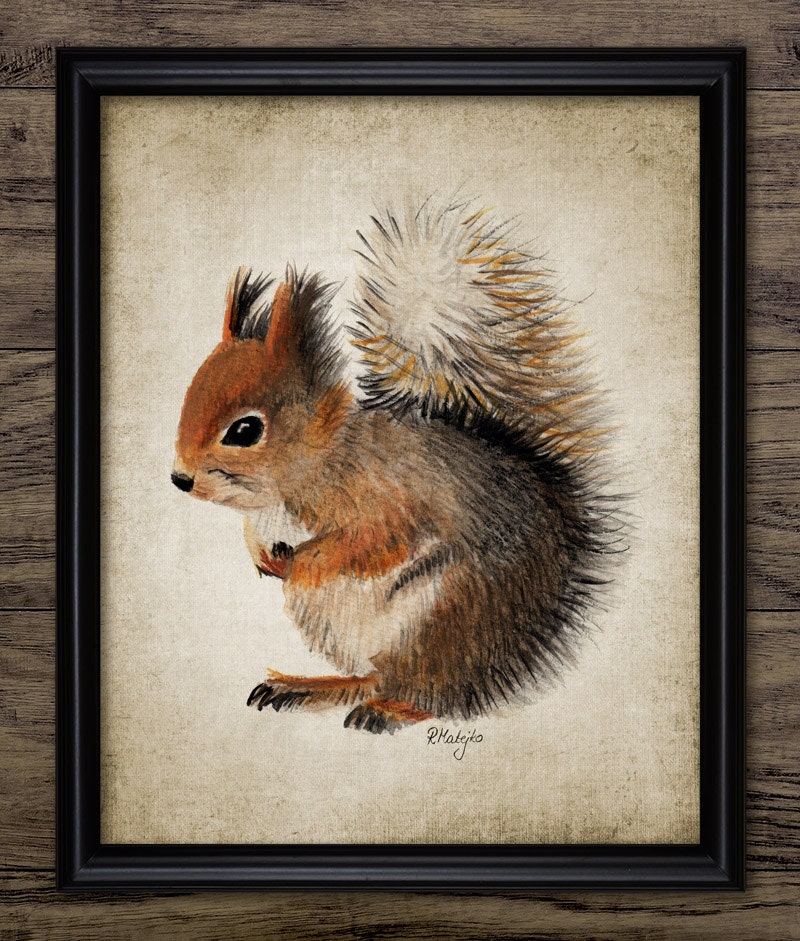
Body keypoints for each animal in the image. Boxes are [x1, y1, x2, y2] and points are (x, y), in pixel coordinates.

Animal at [172, 197, 621, 734]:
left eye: (245, 431)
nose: (179, 478)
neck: (315, 462)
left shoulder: (385, 497)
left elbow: (374, 541)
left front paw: (303, 563)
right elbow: (256, 539)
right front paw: (266, 559)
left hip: (443, 621)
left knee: (428, 691)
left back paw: (388, 708)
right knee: (374, 677)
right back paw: (306, 686)